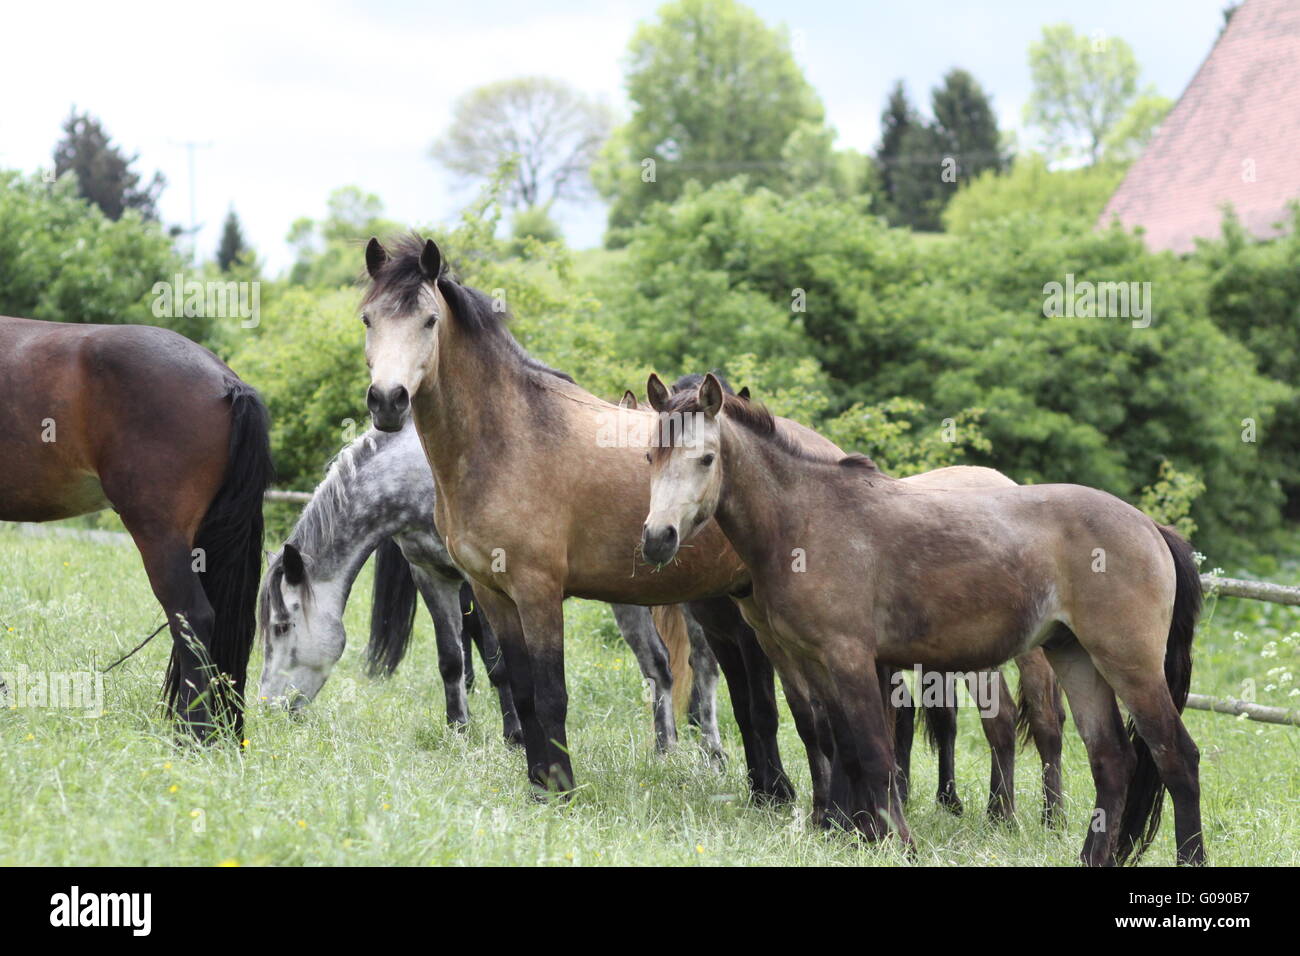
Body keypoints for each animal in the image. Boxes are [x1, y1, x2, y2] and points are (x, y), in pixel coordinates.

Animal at [255, 421, 724, 756]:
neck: (423, 477)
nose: (266, 709)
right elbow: (451, 660)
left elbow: (499, 664)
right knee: (661, 664)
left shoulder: (485, 583)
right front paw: (458, 730)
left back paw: (711, 750)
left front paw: (514, 736)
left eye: (281, 626)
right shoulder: (430, 574)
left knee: (701, 663)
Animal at [643, 374, 1204, 865]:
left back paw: (1190, 858)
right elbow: (844, 748)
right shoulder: (817, 664)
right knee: (1111, 760)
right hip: (1076, 658)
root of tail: (1150, 526)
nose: (657, 539)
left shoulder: (850, 658)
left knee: (1176, 757)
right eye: (651, 455)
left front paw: (899, 845)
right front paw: (859, 836)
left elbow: (875, 753)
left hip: (1128, 665)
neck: (806, 519)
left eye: (706, 458)